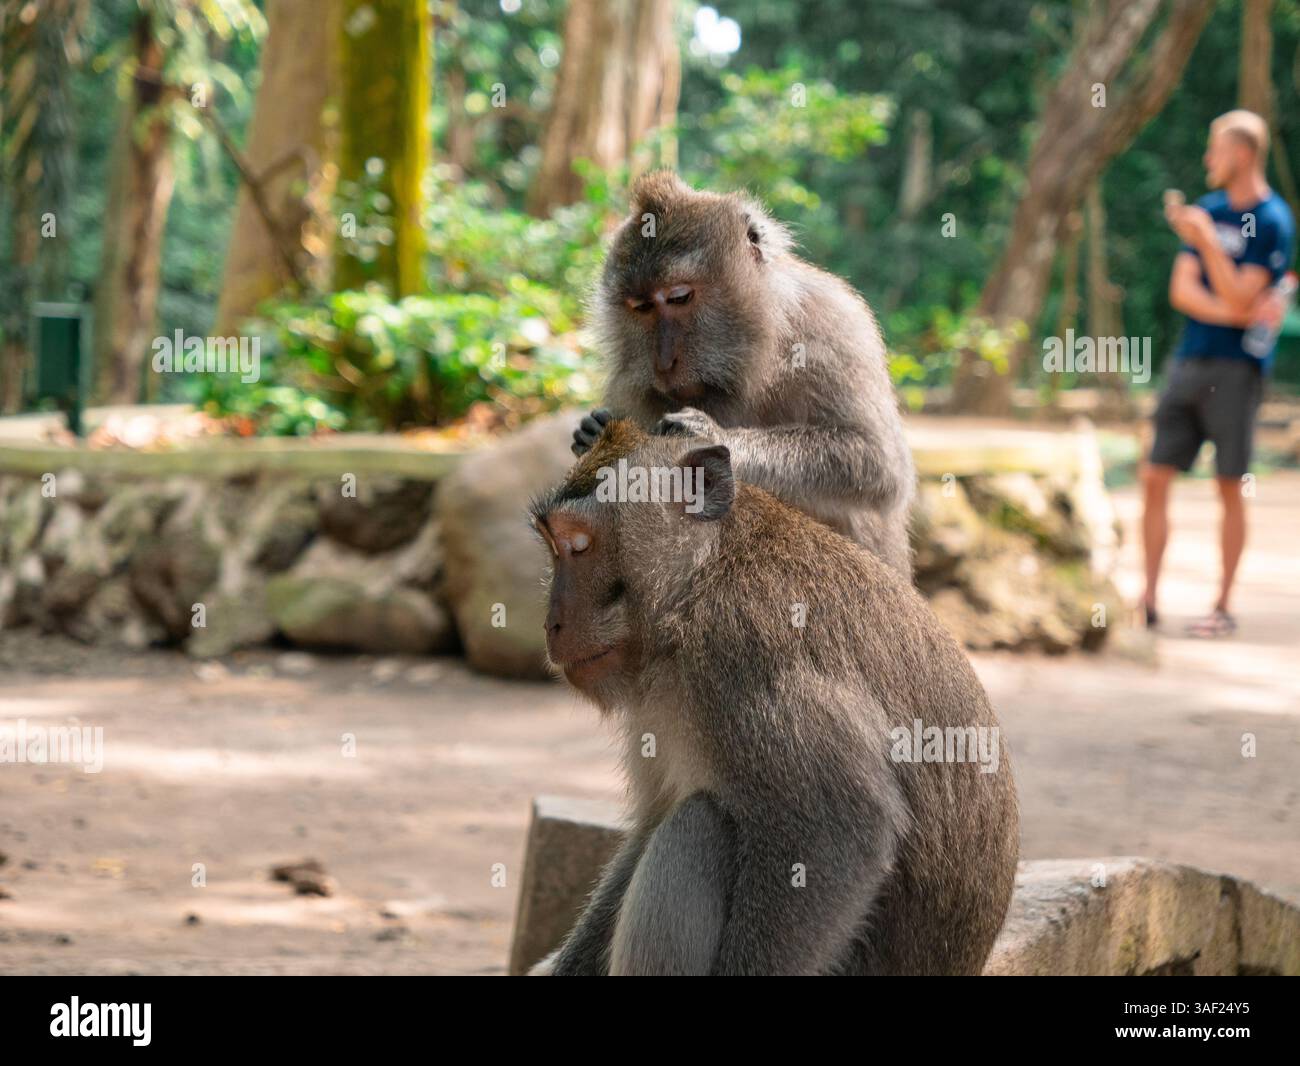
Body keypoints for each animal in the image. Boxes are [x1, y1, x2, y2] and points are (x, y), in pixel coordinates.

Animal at [529, 419, 1018, 976]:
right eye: (554, 547)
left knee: (698, 826)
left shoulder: (745, 653)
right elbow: (651, 821)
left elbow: (838, 834)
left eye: (579, 545)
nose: (551, 624)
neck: (698, 582)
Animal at [571, 170, 916, 578]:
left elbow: (876, 460)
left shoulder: (831, 325)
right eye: (641, 307)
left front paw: (712, 437)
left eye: (679, 297)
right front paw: (591, 431)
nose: (663, 362)